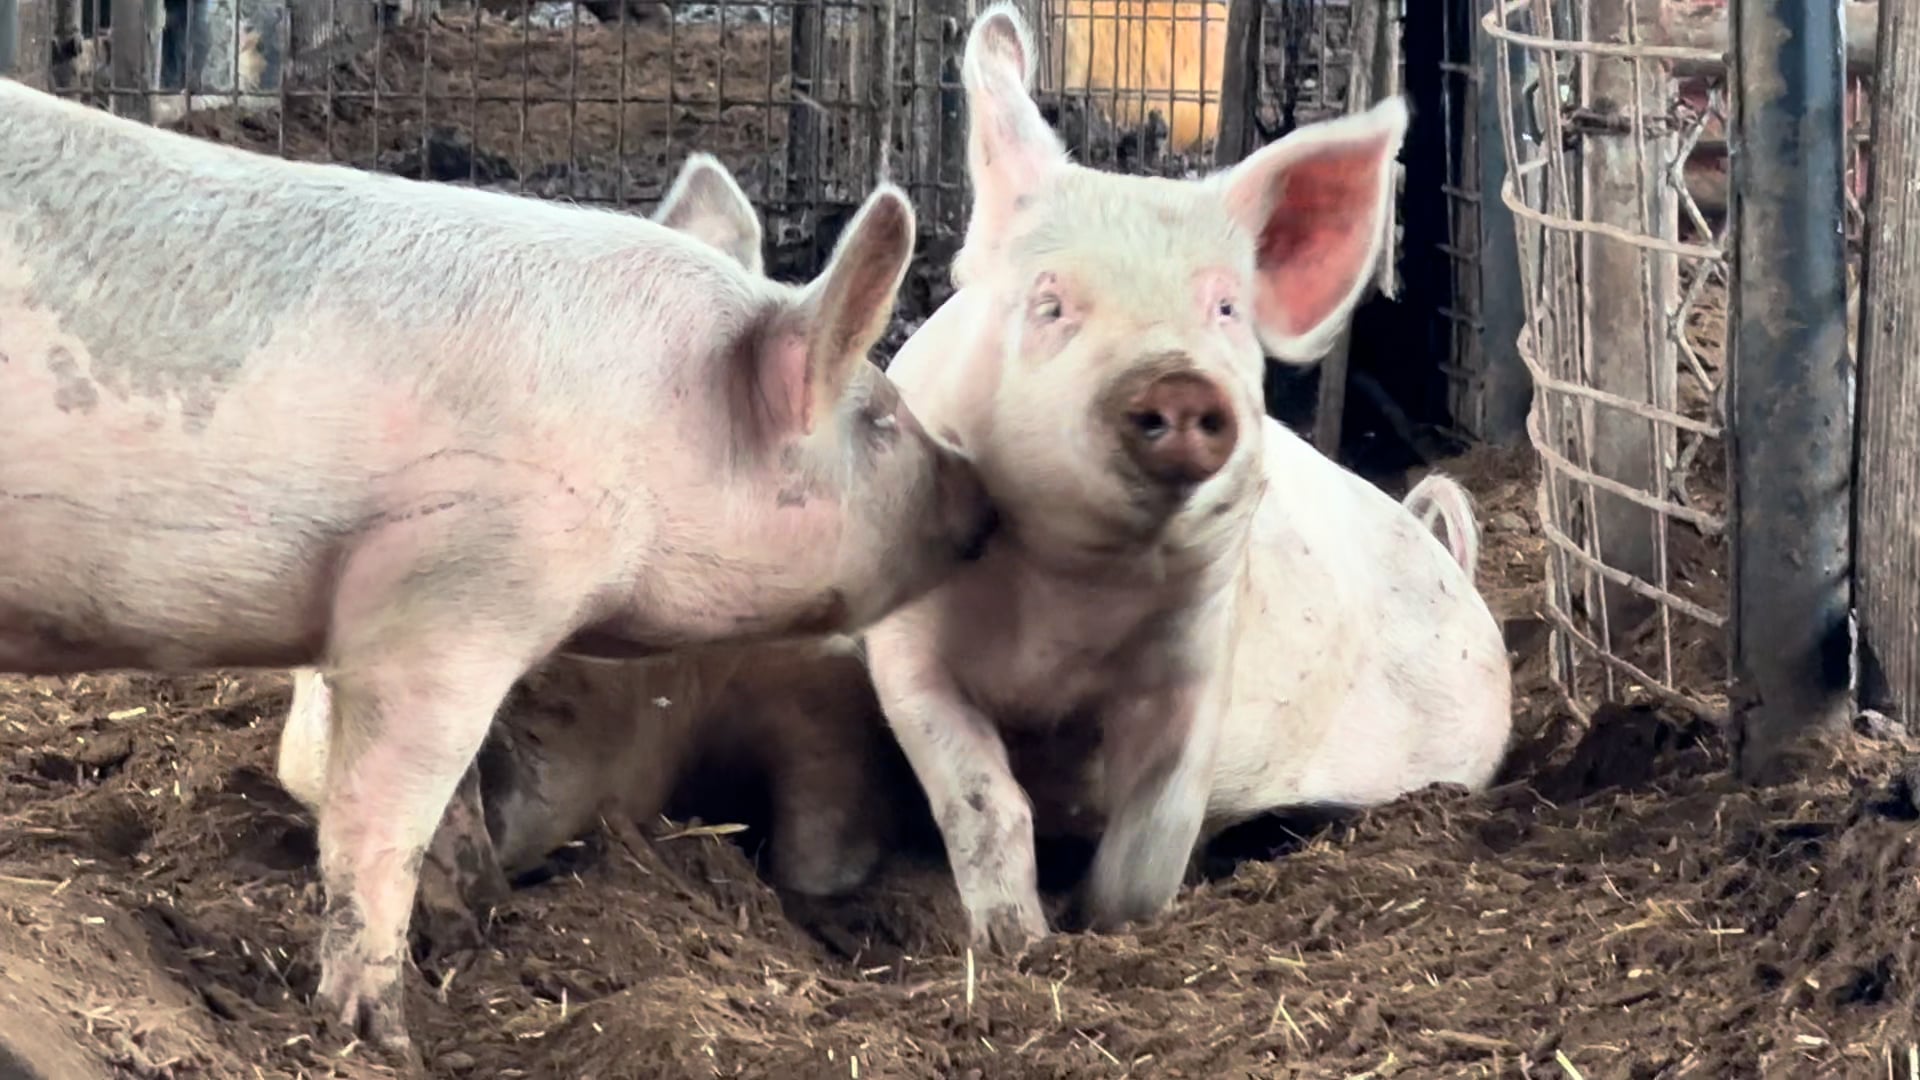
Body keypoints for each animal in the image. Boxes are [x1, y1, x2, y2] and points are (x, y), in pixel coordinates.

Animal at [860, 4, 1512, 954]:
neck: (1068, 595)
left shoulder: (1198, 645)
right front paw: (1016, 944)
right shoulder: (907, 641)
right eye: (1050, 302)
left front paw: (1104, 931)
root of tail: (1455, 576)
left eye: (1226, 308)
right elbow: (981, 798)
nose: (1175, 379)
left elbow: (1155, 828)